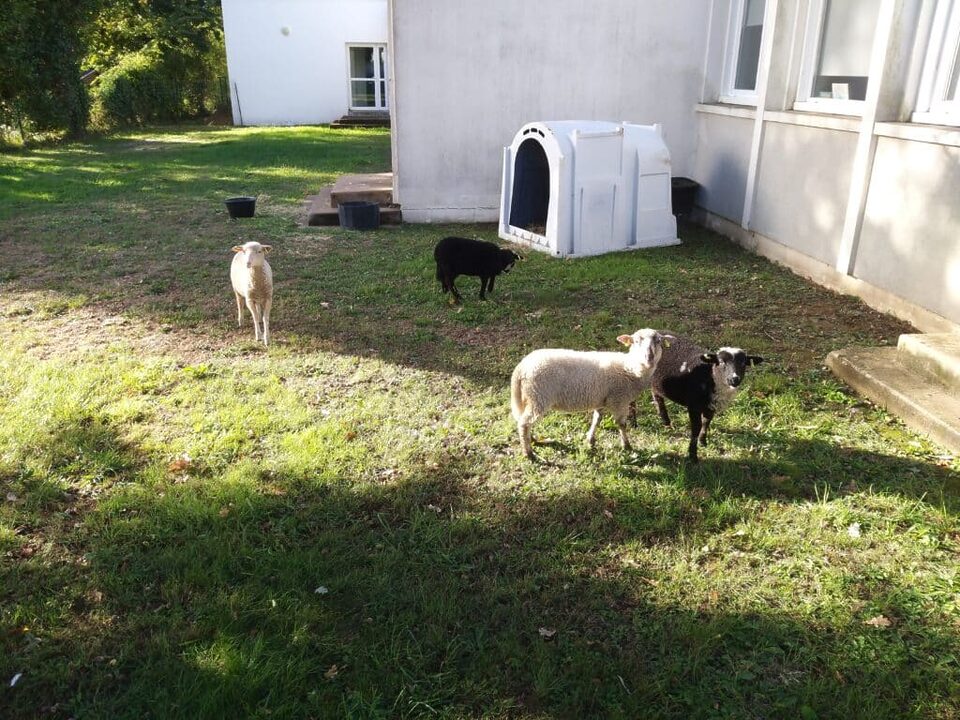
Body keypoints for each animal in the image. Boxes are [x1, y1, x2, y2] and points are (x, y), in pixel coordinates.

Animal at [510, 330, 668, 458]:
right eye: (635, 341)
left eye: (658, 341)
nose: (649, 357)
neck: (630, 368)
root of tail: (521, 368)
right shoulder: (618, 400)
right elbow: (621, 424)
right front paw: (627, 445)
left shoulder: (602, 399)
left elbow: (597, 418)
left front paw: (590, 440)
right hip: (539, 396)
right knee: (524, 423)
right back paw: (529, 453)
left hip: (530, 398)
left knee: (524, 420)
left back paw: (533, 440)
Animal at [644, 332, 764, 462]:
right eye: (721, 362)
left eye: (743, 363)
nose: (734, 379)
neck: (710, 376)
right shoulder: (693, 406)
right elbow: (696, 428)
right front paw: (693, 455)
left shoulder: (711, 406)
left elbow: (706, 422)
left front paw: (703, 442)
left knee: (657, 396)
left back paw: (666, 422)